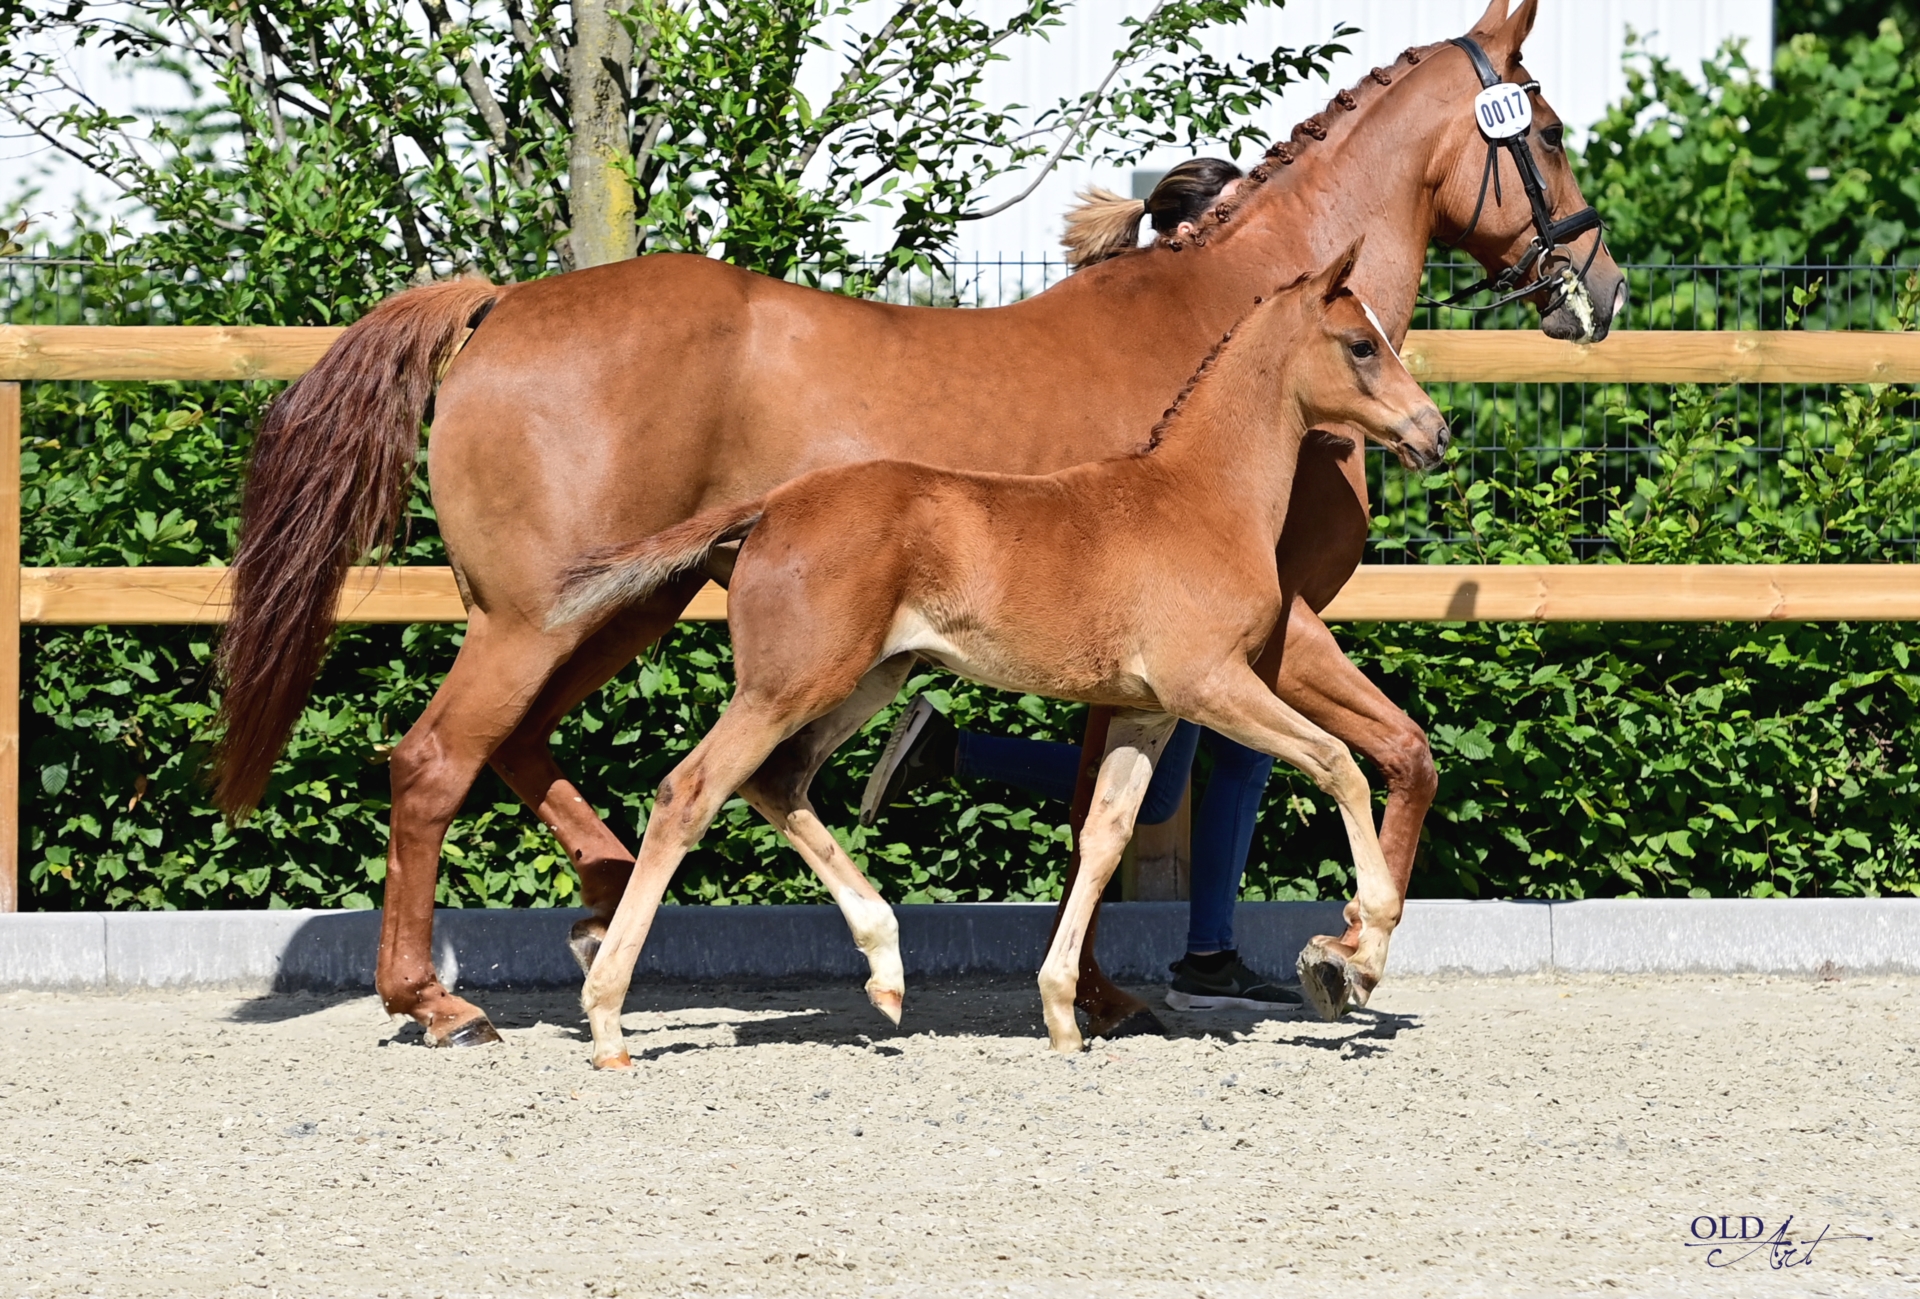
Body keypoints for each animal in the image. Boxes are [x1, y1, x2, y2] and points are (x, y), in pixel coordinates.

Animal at [552, 243, 1448, 1065]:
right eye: (1360, 344)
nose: (1433, 432)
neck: (1201, 496)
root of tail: (770, 507)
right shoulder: (1211, 685)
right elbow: (1337, 762)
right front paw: (1361, 945)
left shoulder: (1146, 711)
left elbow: (1104, 834)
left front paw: (1061, 1012)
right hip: (789, 685)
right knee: (690, 791)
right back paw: (608, 1021)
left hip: (868, 679)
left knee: (778, 781)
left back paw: (887, 970)